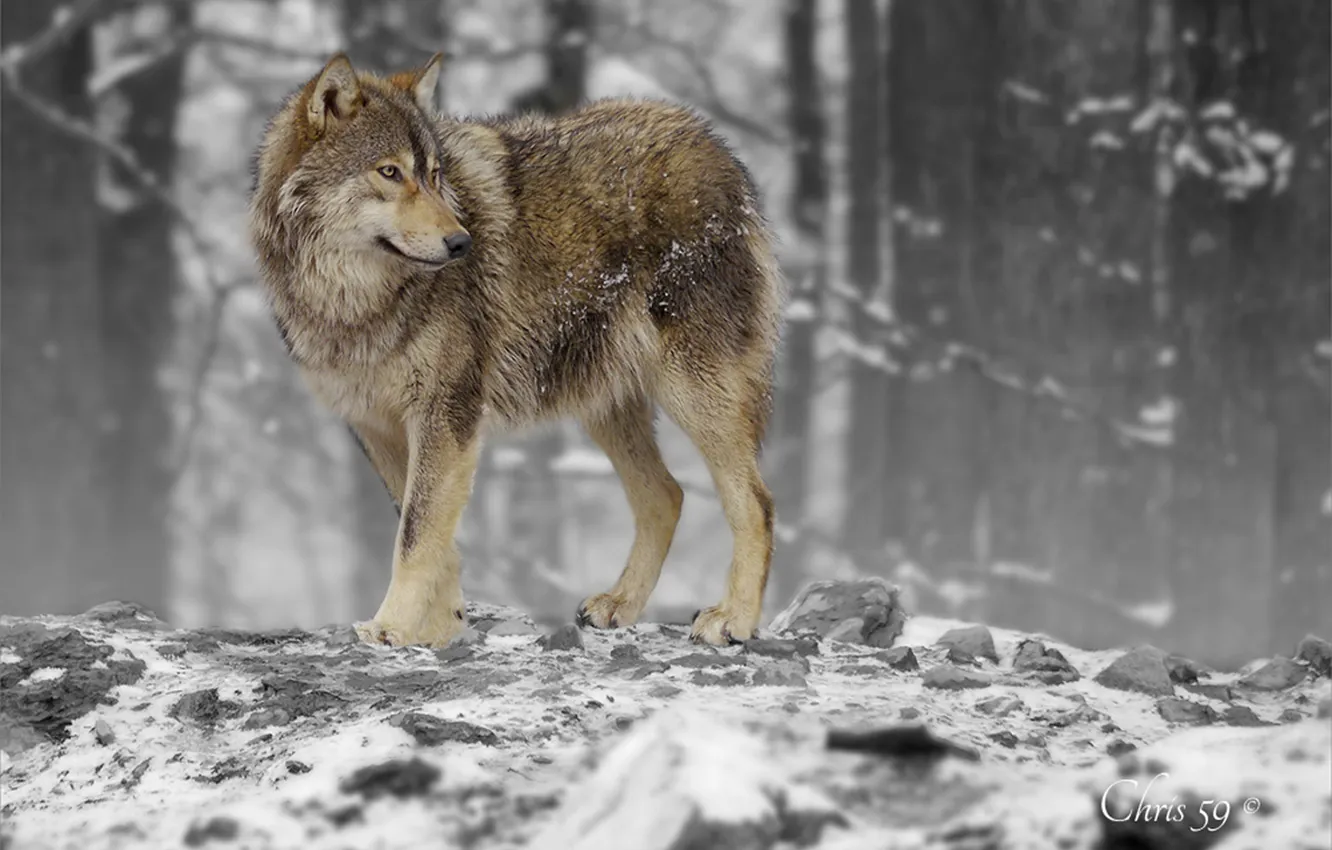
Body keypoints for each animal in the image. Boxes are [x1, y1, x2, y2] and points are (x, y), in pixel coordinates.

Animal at [248, 53, 784, 648]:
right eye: (390, 172)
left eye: (435, 174)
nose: (461, 243)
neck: (357, 305)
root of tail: (717, 148)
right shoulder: (376, 427)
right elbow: (431, 535)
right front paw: (442, 628)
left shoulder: (445, 415)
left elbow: (415, 535)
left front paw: (390, 628)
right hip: (605, 404)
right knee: (666, 496)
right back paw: (619, 604)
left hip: (694, 392)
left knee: (756, 502)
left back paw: (734, 618)